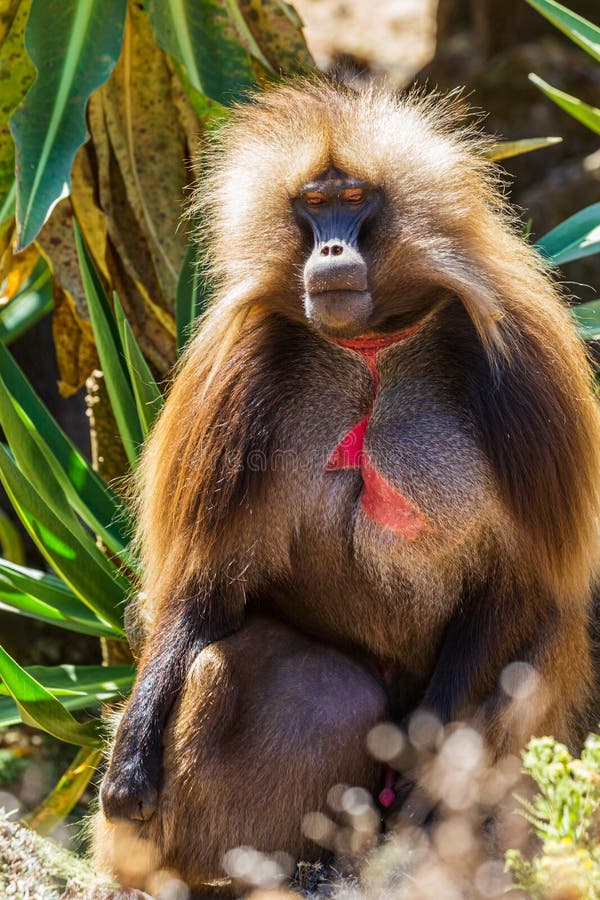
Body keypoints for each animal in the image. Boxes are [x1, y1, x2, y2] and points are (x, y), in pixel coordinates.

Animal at [96, 77, 600, 886]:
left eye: (356, 199)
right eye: (313, 203)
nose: (332, 248)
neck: (369, 348)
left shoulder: (530, 376)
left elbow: (518, 590)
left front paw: (429, 785)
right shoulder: (233, 374)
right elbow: (202, 590)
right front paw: (132, 761)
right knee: (251, 675)